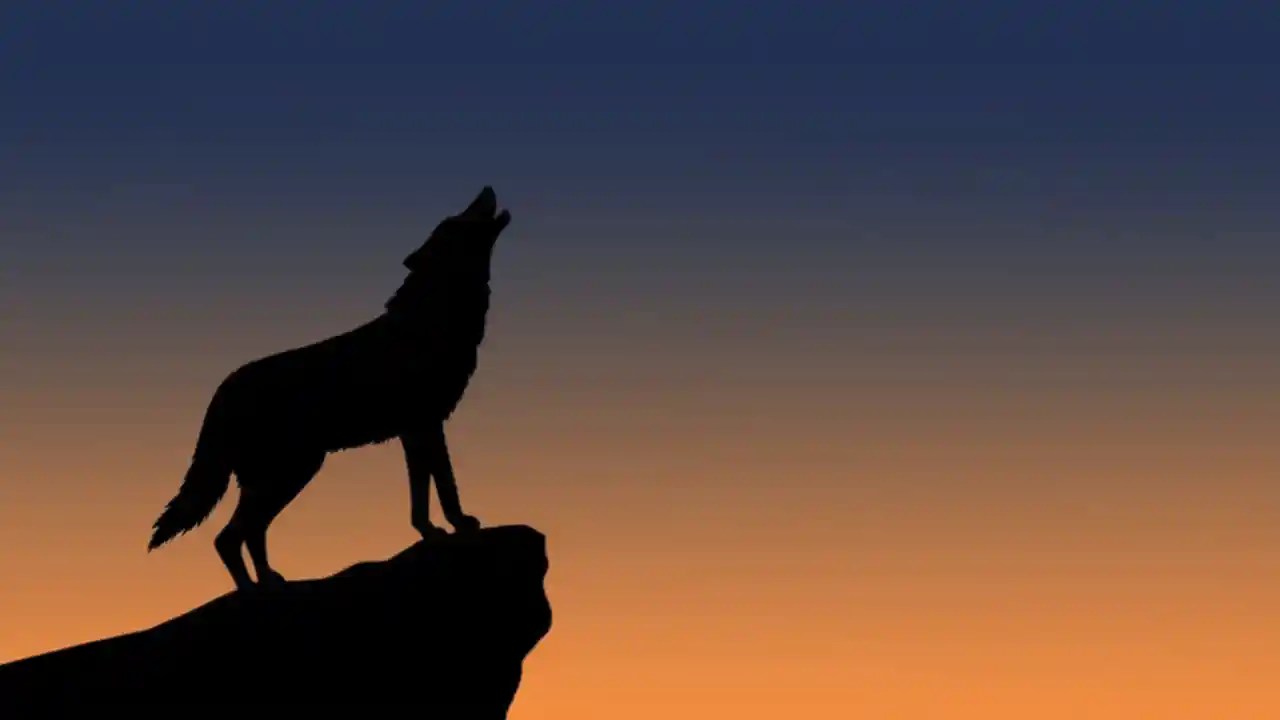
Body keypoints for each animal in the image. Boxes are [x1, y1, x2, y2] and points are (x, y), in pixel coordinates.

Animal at [147, 186, 513, 591]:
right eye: (454, 220)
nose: (486, 188)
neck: (432, 319)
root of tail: (223, 390)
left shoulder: (416, 431)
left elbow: (421, 495)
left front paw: (430, 532)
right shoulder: (426, 425)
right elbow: (446, 486)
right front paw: (460, 525)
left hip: (284, 476)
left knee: (248, 532)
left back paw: (270, 580)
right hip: (292, 472)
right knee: (228, 537)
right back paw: (252, 590)